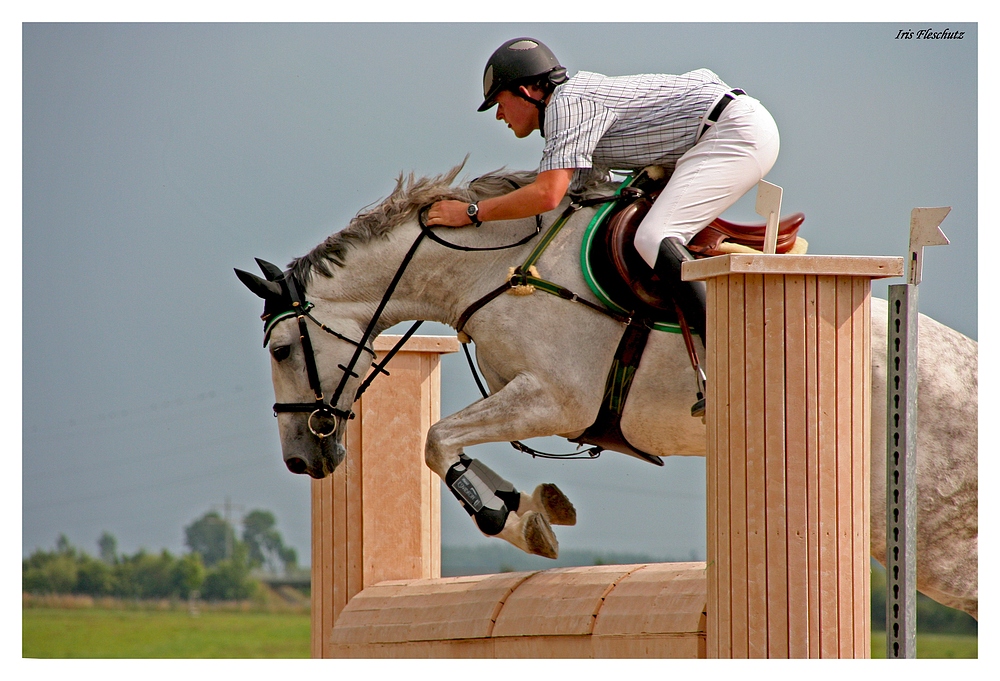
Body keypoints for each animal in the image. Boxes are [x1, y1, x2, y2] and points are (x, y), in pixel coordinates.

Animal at [236, 165, 978, 619]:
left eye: (280, 350)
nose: (303, 458)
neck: (493, 270)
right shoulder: (527, 398)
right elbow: (452, 442)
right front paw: (530, 503)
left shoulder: (555, 397)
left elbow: (436, 438)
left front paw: (512, 518)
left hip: (935, 541)